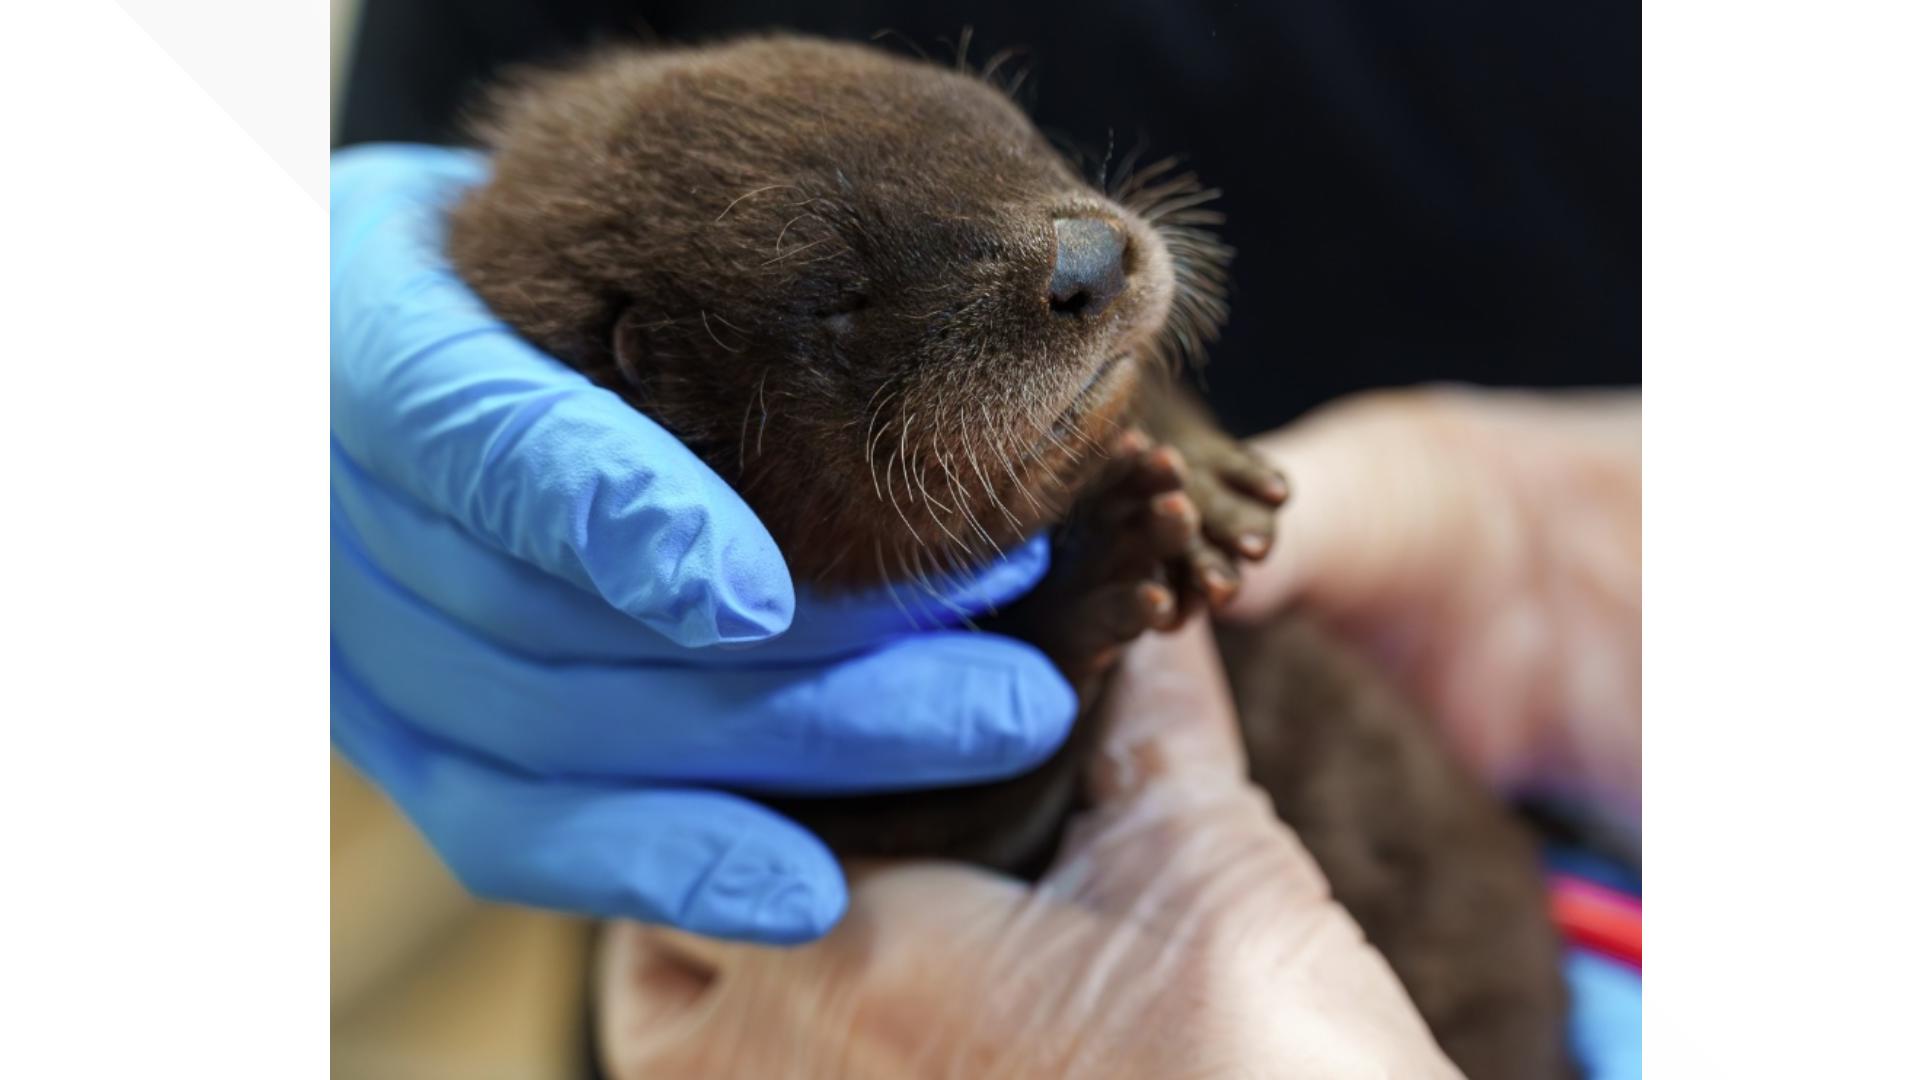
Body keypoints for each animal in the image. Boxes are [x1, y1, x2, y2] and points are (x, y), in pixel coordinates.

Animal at [446, 34, 1574, 1080]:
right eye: (841, 297)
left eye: (1003, 134)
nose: (1086, 260)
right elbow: (991, 806)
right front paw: (1107, 562)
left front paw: (1209, 486)